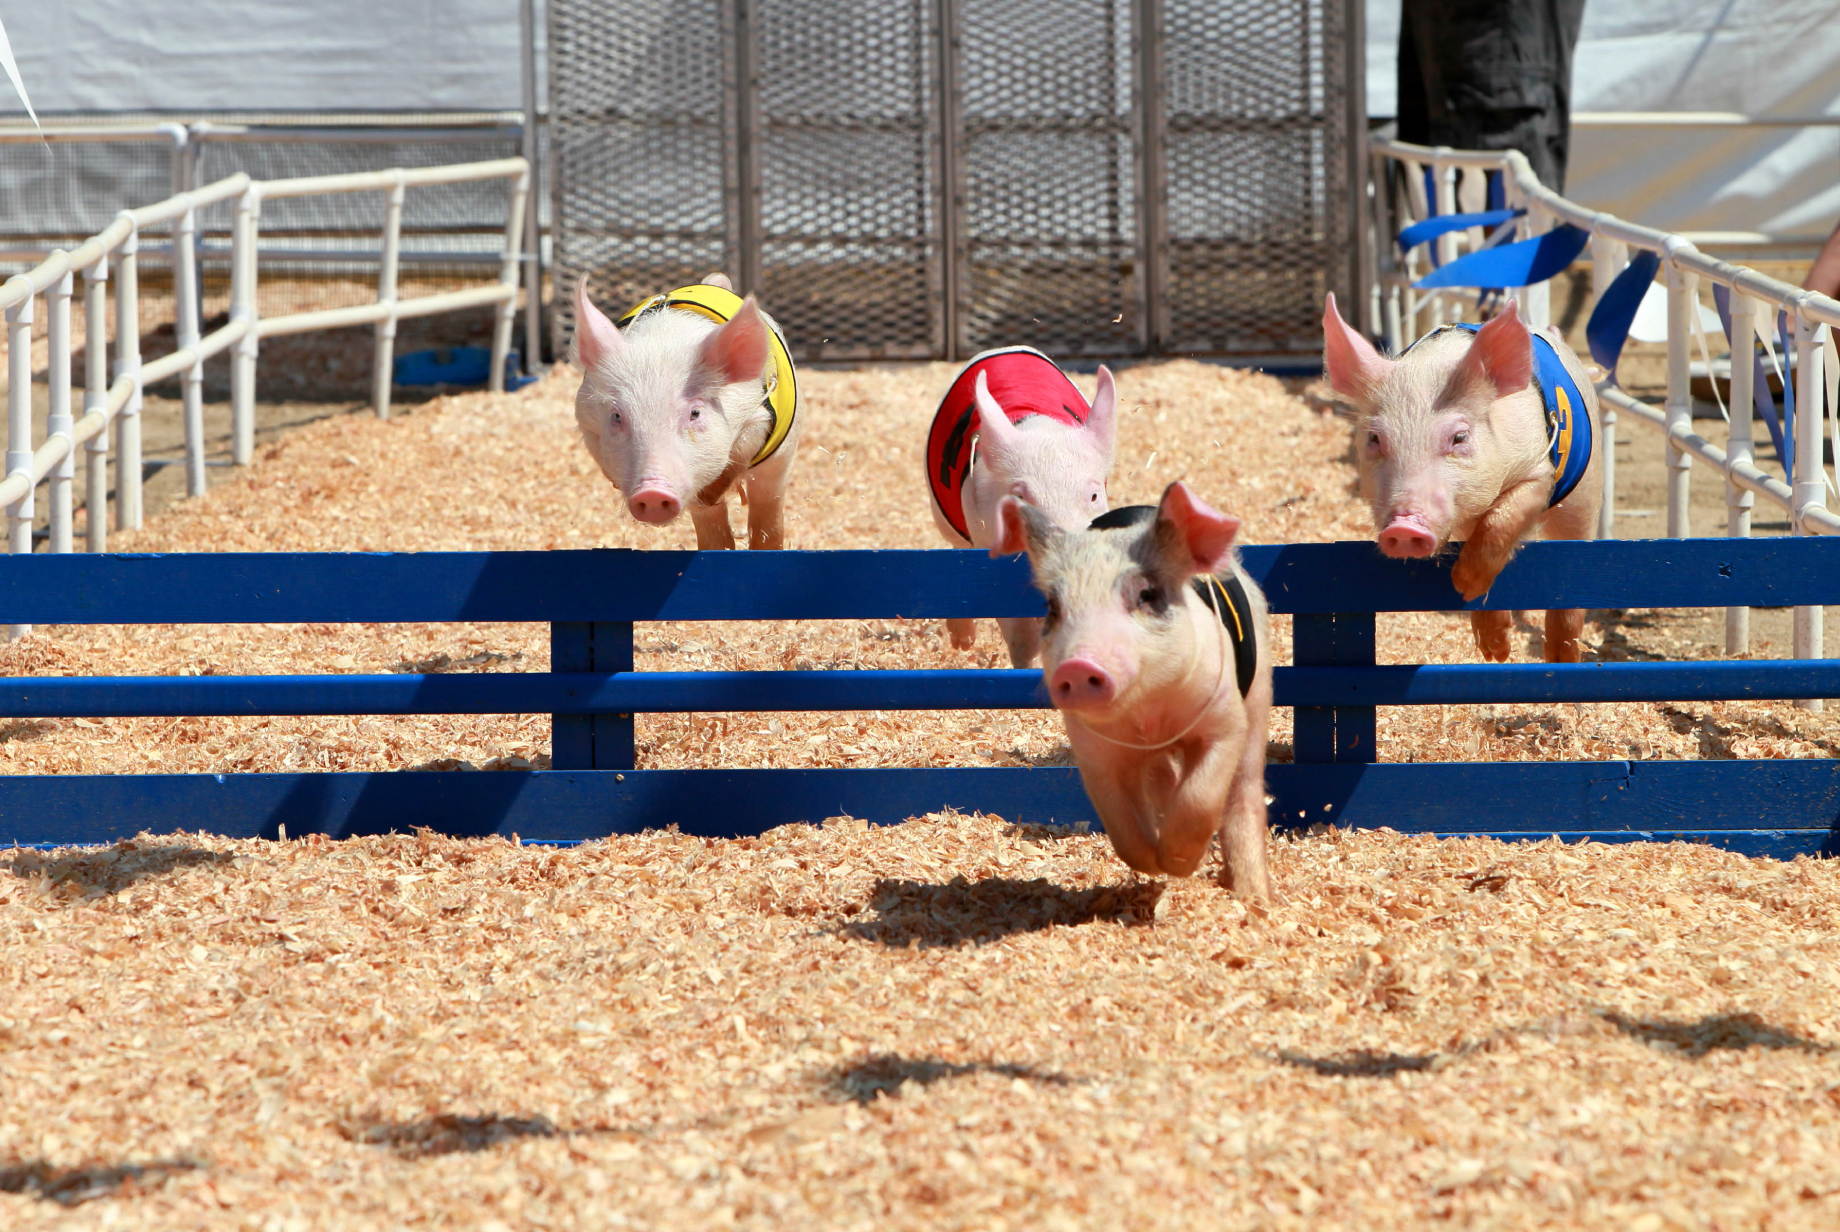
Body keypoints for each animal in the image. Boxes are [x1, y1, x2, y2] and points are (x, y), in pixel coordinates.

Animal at [571, 273, 801, 550]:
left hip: (779, 464)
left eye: (695, 413)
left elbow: (744, 447)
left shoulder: (757, 413)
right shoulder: (586, 418)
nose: (652, 492)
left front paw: (711, 493)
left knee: (768, 511)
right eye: (617, 416)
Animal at [992, 481, 1273, 898]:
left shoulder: (1224, 720)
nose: (1079, 665)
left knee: (1245, 792)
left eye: (1146, 595)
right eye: (1053, 607)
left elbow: (1200, 796)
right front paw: (1155, 864)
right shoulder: (1094, 751)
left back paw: (1253, 897)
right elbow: (1122, 830)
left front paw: (1178, 864)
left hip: (1258, 695)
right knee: (1164, 780)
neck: (1149, 716)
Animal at [1321, 293, 1602, 663]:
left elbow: (1501, 519)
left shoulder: (1538, 468)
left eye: (1458, 437)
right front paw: (1495, 651)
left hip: (1585, 490)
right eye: (1375, 438)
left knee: (1574, 560)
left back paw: (1560, 659)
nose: (1404, 527)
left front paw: (1464, 585)